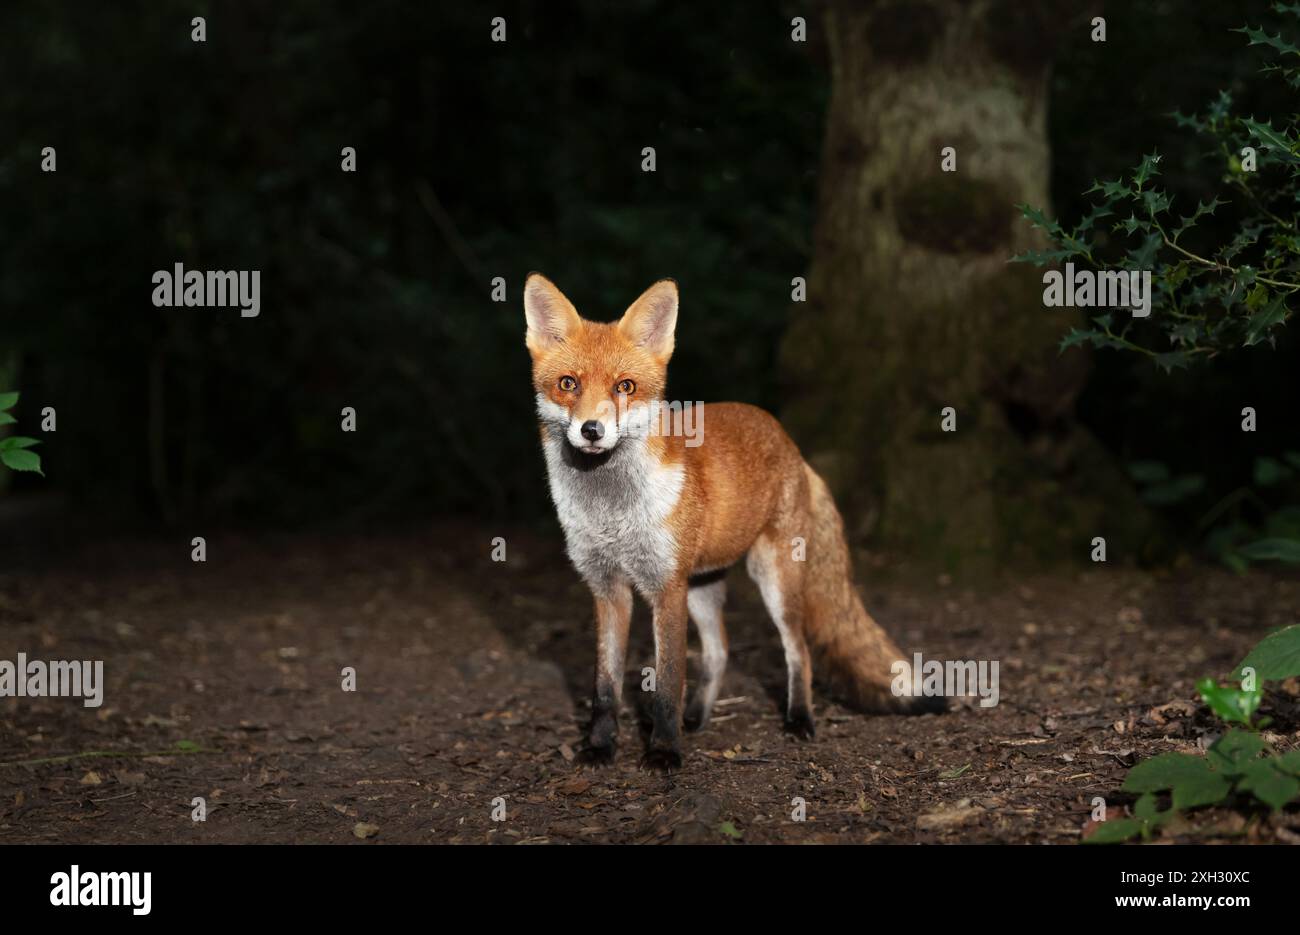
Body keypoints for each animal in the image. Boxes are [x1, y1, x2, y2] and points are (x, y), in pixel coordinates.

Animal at [523, 273, 943, 767]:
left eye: (624, 387)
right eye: (568, 383)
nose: (592, 431)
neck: (611, 511)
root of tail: (790, 443)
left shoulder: (666, 587)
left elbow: (668, 680)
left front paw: (664, 751)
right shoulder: (607, 588)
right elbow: (605, 687)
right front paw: (600, 747)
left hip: (773, 580)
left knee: (798, 650)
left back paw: (799, 719)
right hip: (705, 585)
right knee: (719, 652)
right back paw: (697, 717)